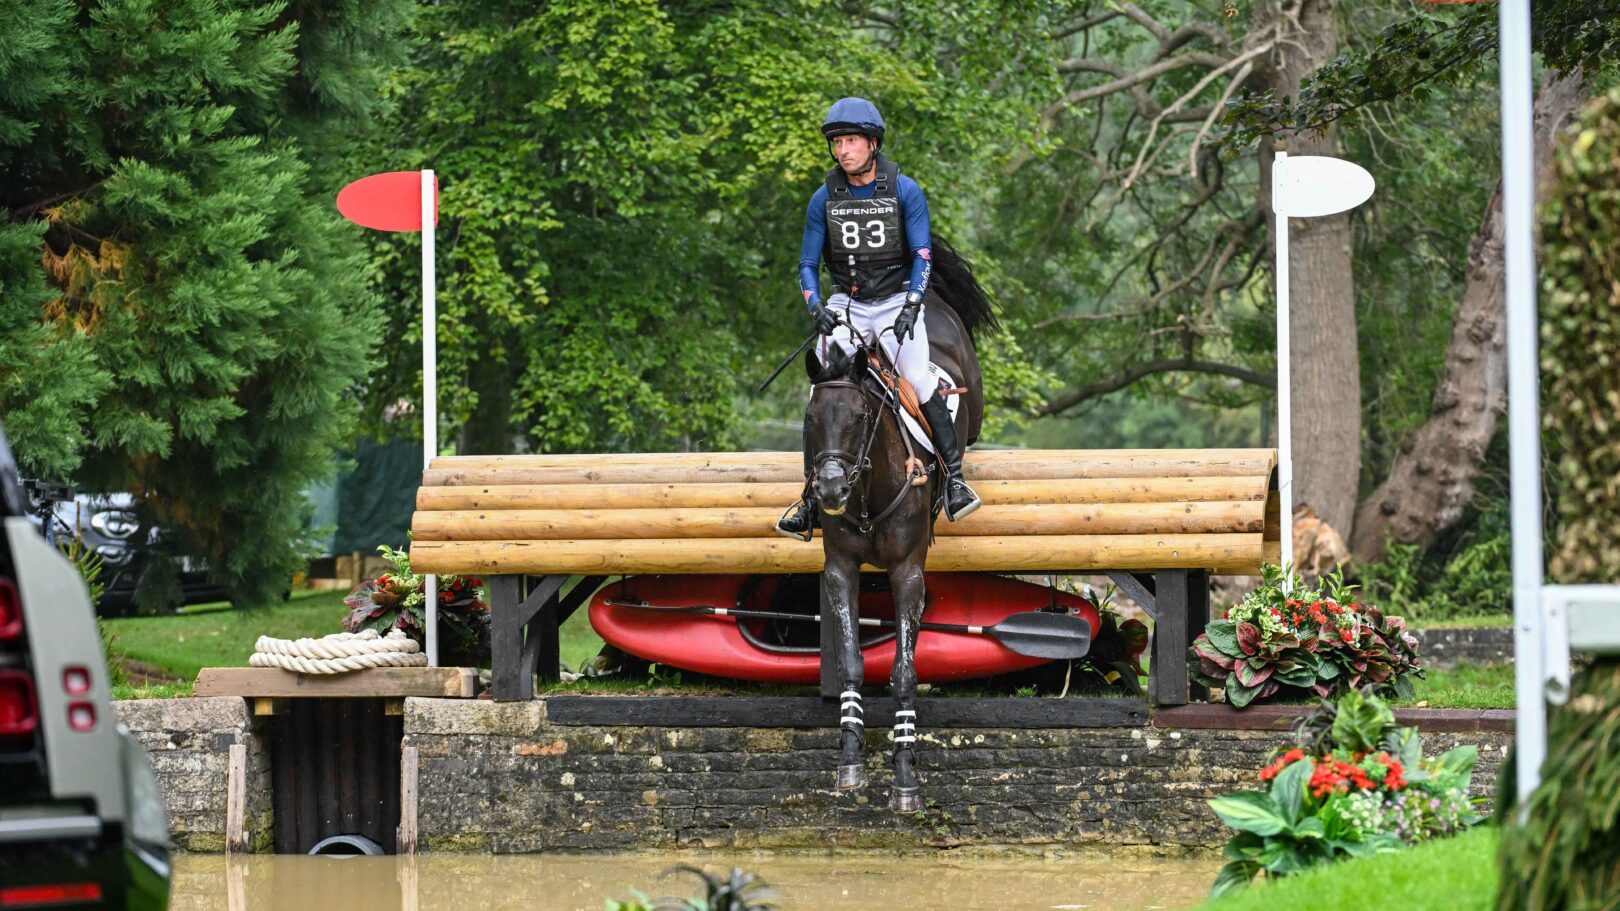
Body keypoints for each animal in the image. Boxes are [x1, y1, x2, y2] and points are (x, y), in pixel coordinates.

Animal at [802, 237, 996, 811]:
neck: (867, 492)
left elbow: (904, 670)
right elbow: (851, 662)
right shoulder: (841, 568)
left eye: (860, 417)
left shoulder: (908, 570)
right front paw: (849, 759)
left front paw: (905, 774)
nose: (830, 492)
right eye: (810, 422)